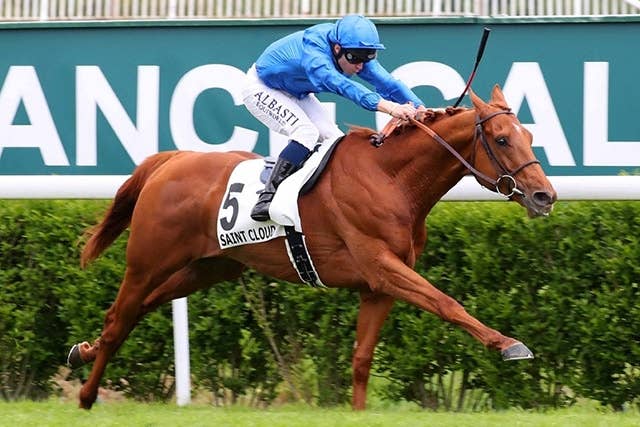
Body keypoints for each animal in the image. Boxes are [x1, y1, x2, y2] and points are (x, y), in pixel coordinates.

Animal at [68, 85, 556, 410]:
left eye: (530, 136)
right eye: (501, 139)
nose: (544, 195)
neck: (391, 179)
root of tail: (170, 160)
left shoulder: (378, 285)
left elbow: (361, 359)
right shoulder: (382, 266)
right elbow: (447, 303)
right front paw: (509, 344)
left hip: (206, 267)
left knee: (138, 311)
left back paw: (83, 352)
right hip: (148, 260)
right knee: (119, 318)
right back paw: (87, 395)